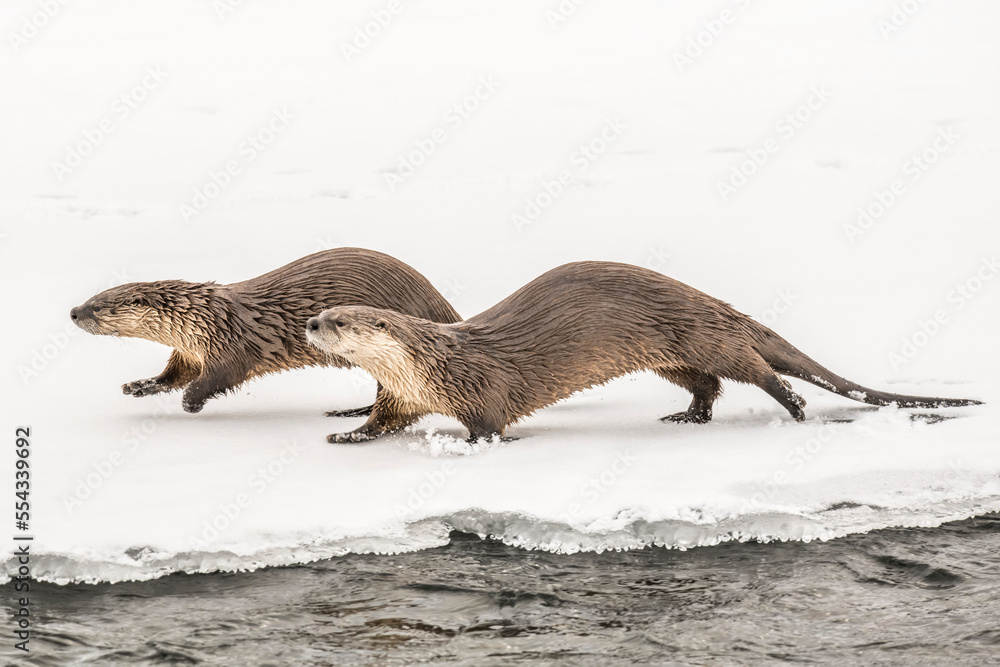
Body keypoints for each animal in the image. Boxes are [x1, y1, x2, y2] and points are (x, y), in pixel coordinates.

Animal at [70, 248, 461, 414]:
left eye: (99, 307)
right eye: (92, 297)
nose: (74, 311)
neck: (201, 319)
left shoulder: (228, 345)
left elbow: (219, 377)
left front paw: (190, 403)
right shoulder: (190, 350)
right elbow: (172, 376)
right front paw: (138, 386)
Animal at [304, 261, 981, 442]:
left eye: (339, 320)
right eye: (321, 313)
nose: (311, 322)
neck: (430, 366)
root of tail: (719, 306)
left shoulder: (479, 389)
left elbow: (489, 426)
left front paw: (474, 447)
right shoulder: (402, 396)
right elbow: (381, 422)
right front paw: (346, 434)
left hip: (707, 336)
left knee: (756, 371)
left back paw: (793, 409)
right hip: (670, 353)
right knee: (708, 385)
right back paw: (685, 418)